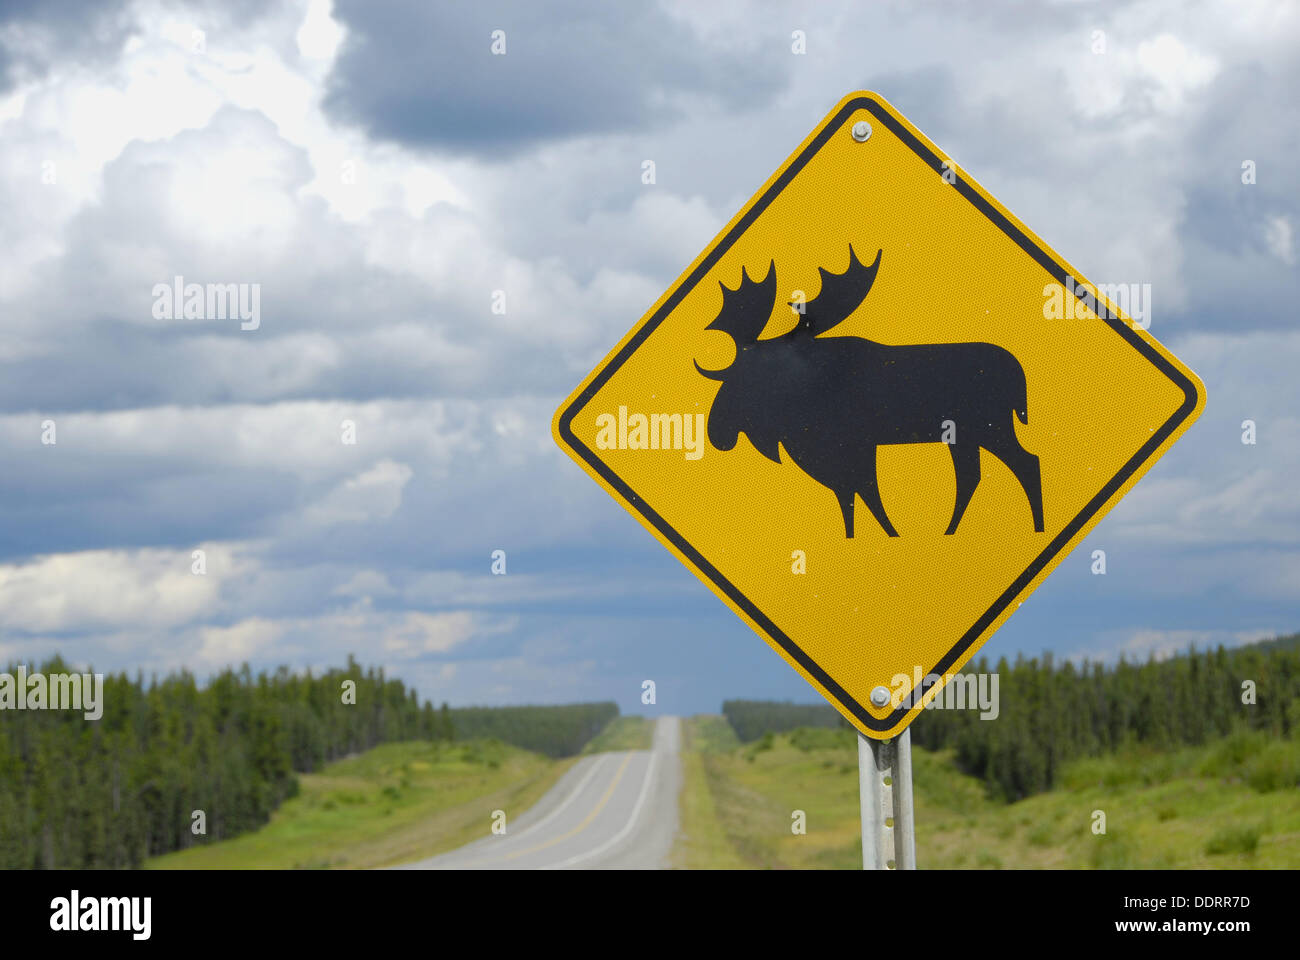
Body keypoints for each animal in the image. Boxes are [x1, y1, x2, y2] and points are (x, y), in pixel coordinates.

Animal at [693, 246, 1044, 538]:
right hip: (965, 436)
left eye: (751, 375)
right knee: (971, 476)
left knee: (1027, 461)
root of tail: (1019, 375)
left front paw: (892, 534)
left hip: (990, 428)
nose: (716, 433)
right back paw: (951, 529)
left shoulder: (856, 447)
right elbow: (849, 498)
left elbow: (866, 493)